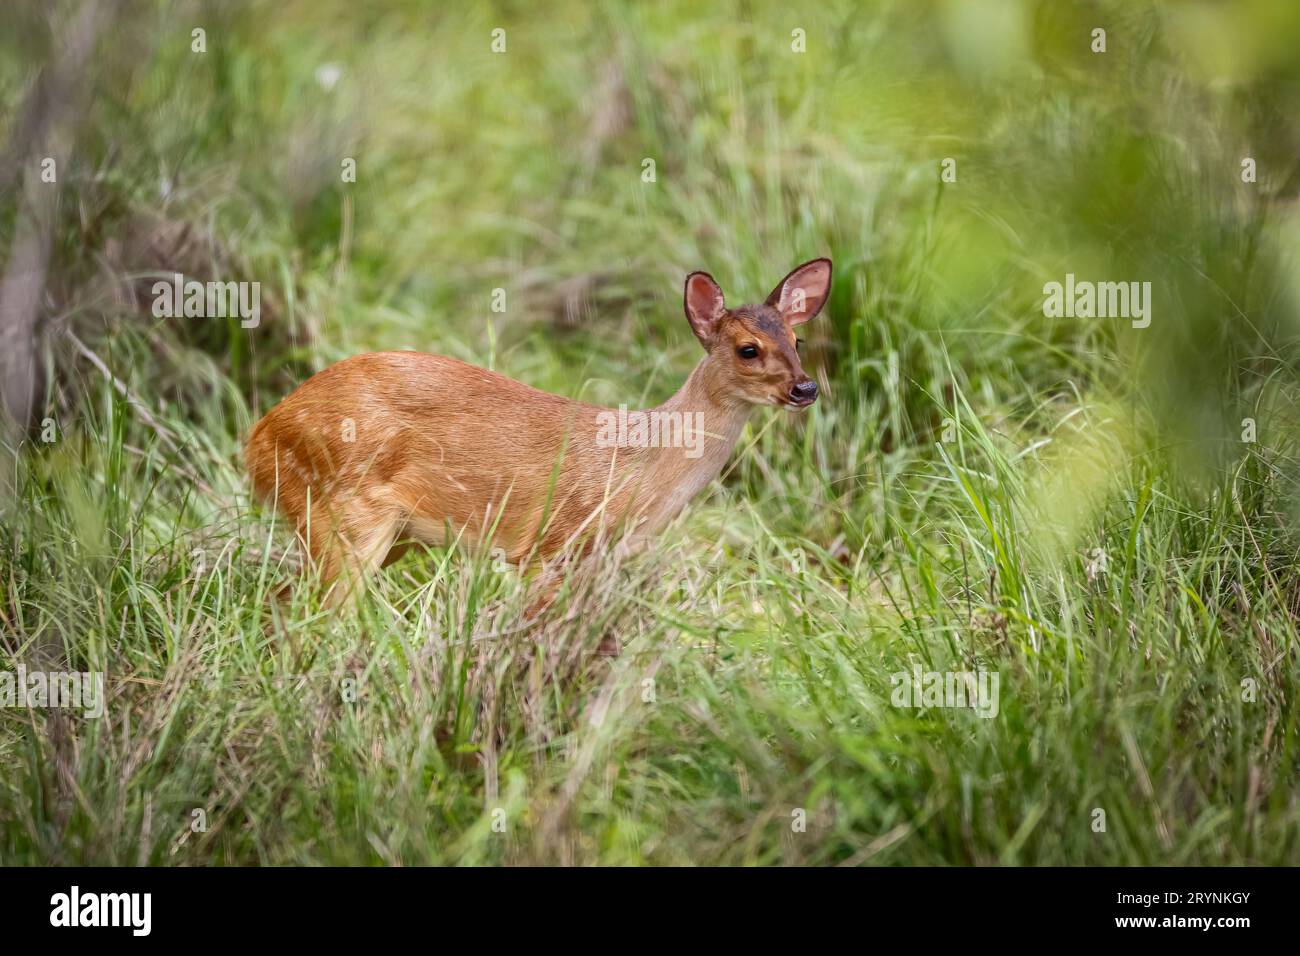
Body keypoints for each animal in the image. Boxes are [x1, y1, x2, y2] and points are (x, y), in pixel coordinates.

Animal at [244, 258, 831, 613]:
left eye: (797, 339)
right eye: (748, 349)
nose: (805, 388)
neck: (643, 465)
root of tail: (259, 435)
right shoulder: (551, 547)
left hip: (385, 533)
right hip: (344, 514)